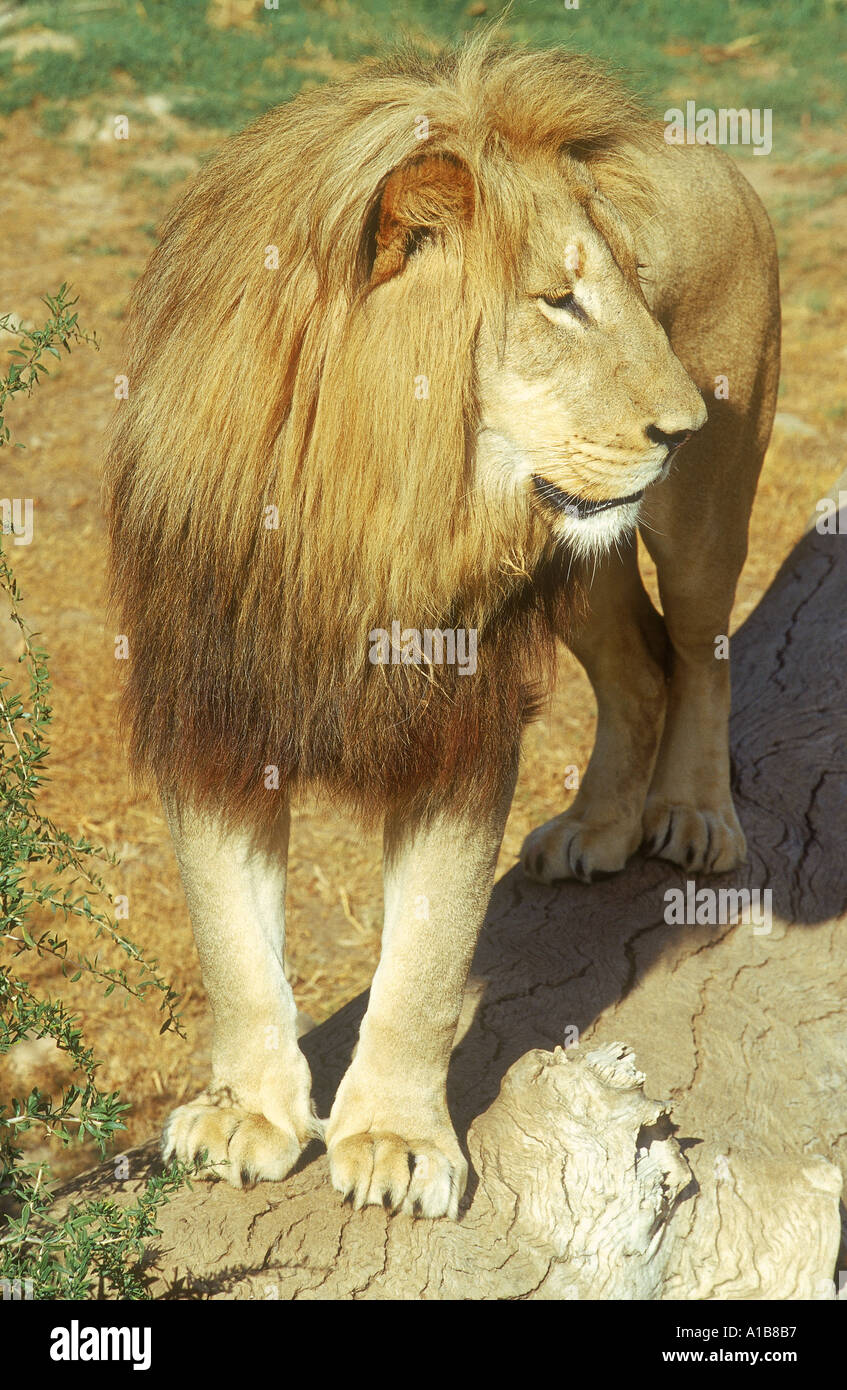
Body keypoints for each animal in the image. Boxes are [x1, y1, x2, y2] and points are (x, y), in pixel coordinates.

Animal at [103, 36, 779, 1219]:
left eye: (632, 290)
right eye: (557, 302)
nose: (686, 424)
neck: (363, 518)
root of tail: (708, 149)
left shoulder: (458, 722)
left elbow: (423, 953)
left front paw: (394, 1138)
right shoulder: (214, 702)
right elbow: (230, 936)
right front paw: (248, 1113)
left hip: (701, 520)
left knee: (700, 653)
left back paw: (693, 816)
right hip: (579, 554)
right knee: (639, 669)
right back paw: (596, 830)